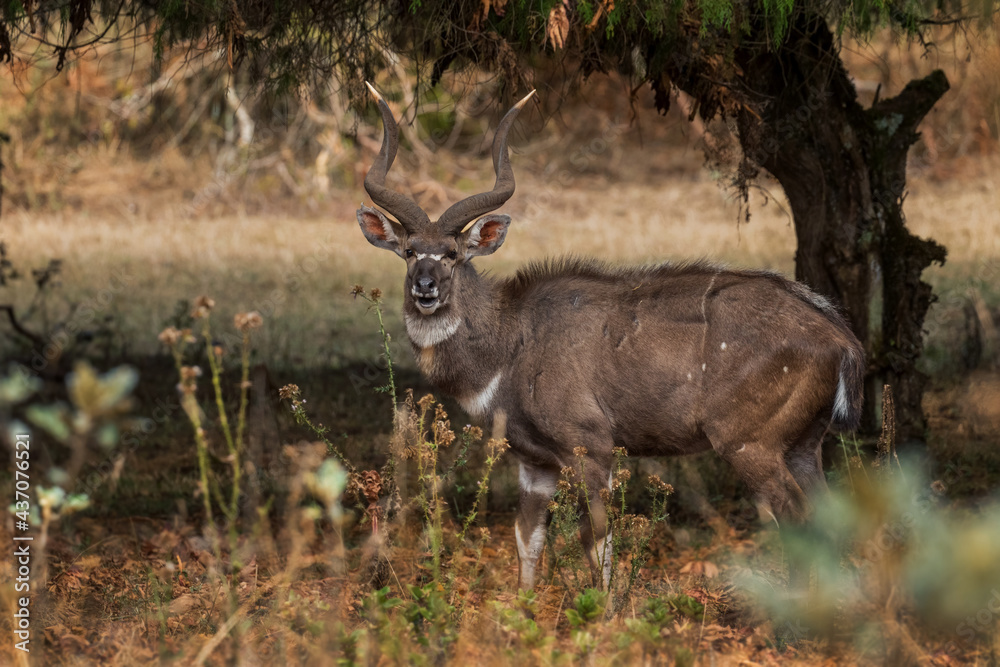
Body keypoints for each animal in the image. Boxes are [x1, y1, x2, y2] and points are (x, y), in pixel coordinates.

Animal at [356, 84, 864, 590]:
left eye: (452, 254)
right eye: (409, 251)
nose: (425, 287)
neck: (510, 344)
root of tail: (841, 338)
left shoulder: (590, 446)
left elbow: (596, 540)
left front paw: (606, 607)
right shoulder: (534, 462)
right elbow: (527, 540)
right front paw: (522, 607)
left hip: (749, 443)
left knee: (795, 516)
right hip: (803, 444)